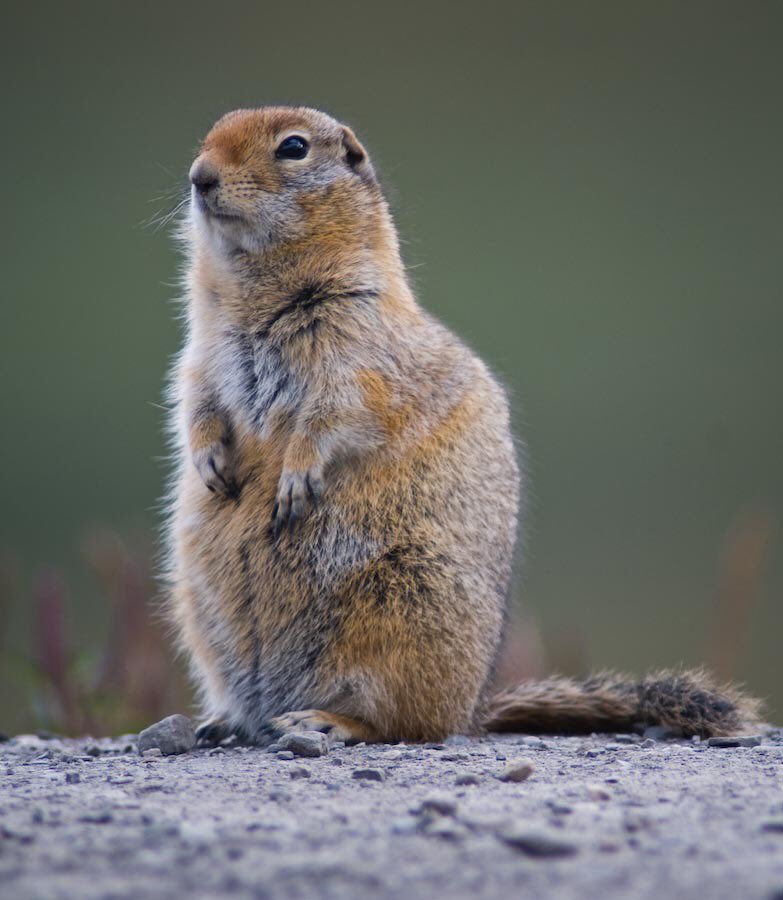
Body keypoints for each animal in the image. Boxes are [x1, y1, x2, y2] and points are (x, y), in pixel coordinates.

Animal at [165, 106, 760, 746]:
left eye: (293, 148)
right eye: (207, 137)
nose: (198, 176)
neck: (256, 290)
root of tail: (474, 709)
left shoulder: (357, 353)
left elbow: (333, 416)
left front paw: (296, 478)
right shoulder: (200, 355)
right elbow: (196, 406)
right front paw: (209, 465)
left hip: (402, 611)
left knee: (405, 723)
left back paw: (323, 718)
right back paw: (223, 722)